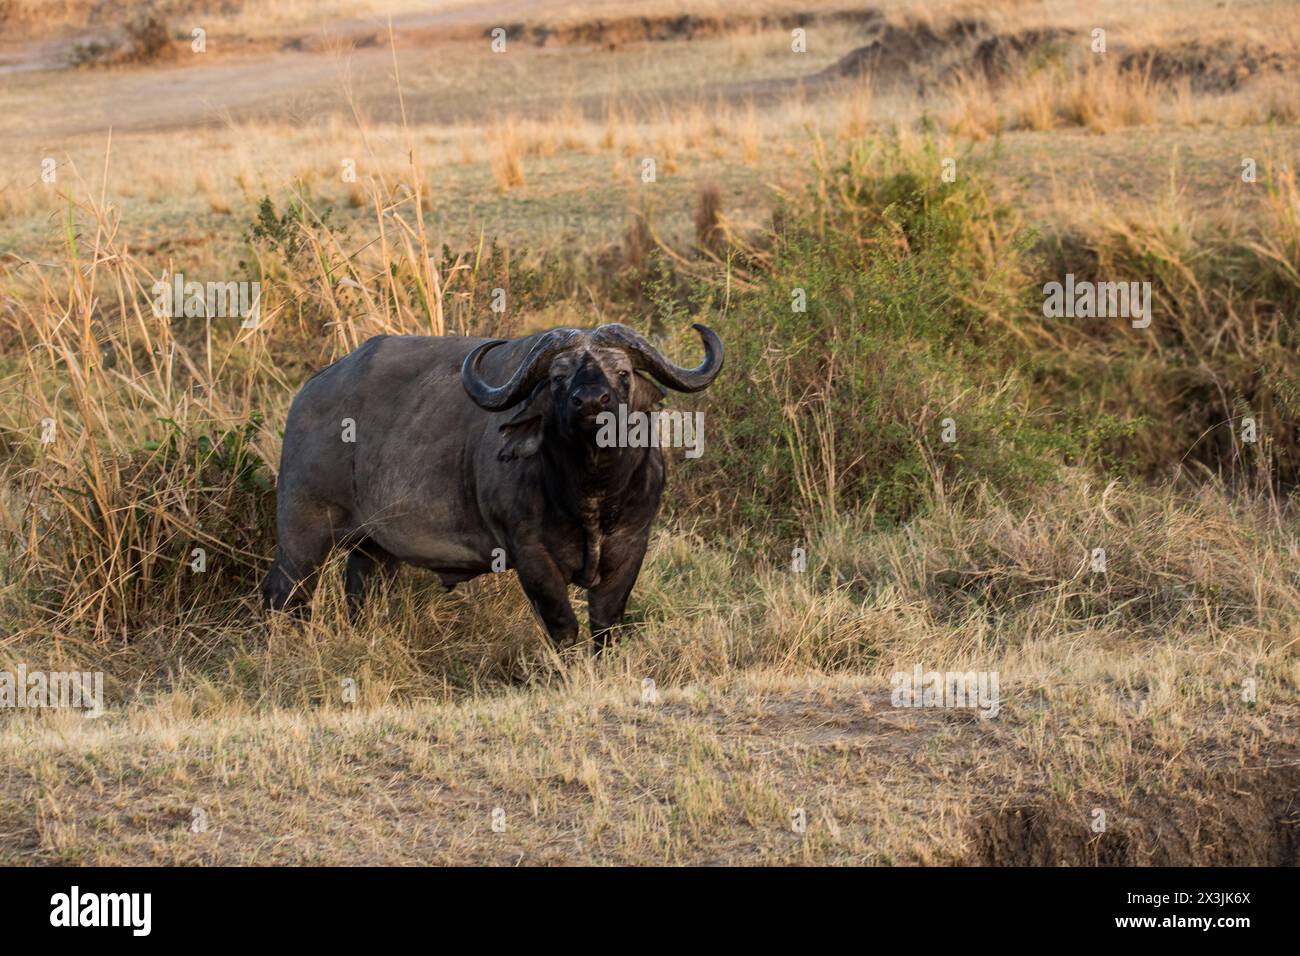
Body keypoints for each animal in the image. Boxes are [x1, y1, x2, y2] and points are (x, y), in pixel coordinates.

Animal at [262, 323, 723, 651]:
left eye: (623, 373)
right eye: (558, 377)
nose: (591, 402)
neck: (589, 492)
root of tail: (310, 392)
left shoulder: (631, 544)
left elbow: (604, 625)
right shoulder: (530, 552)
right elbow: (563, 624)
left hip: (373, 549)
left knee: (361, 597)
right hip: (302, 534)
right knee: (283, 595)